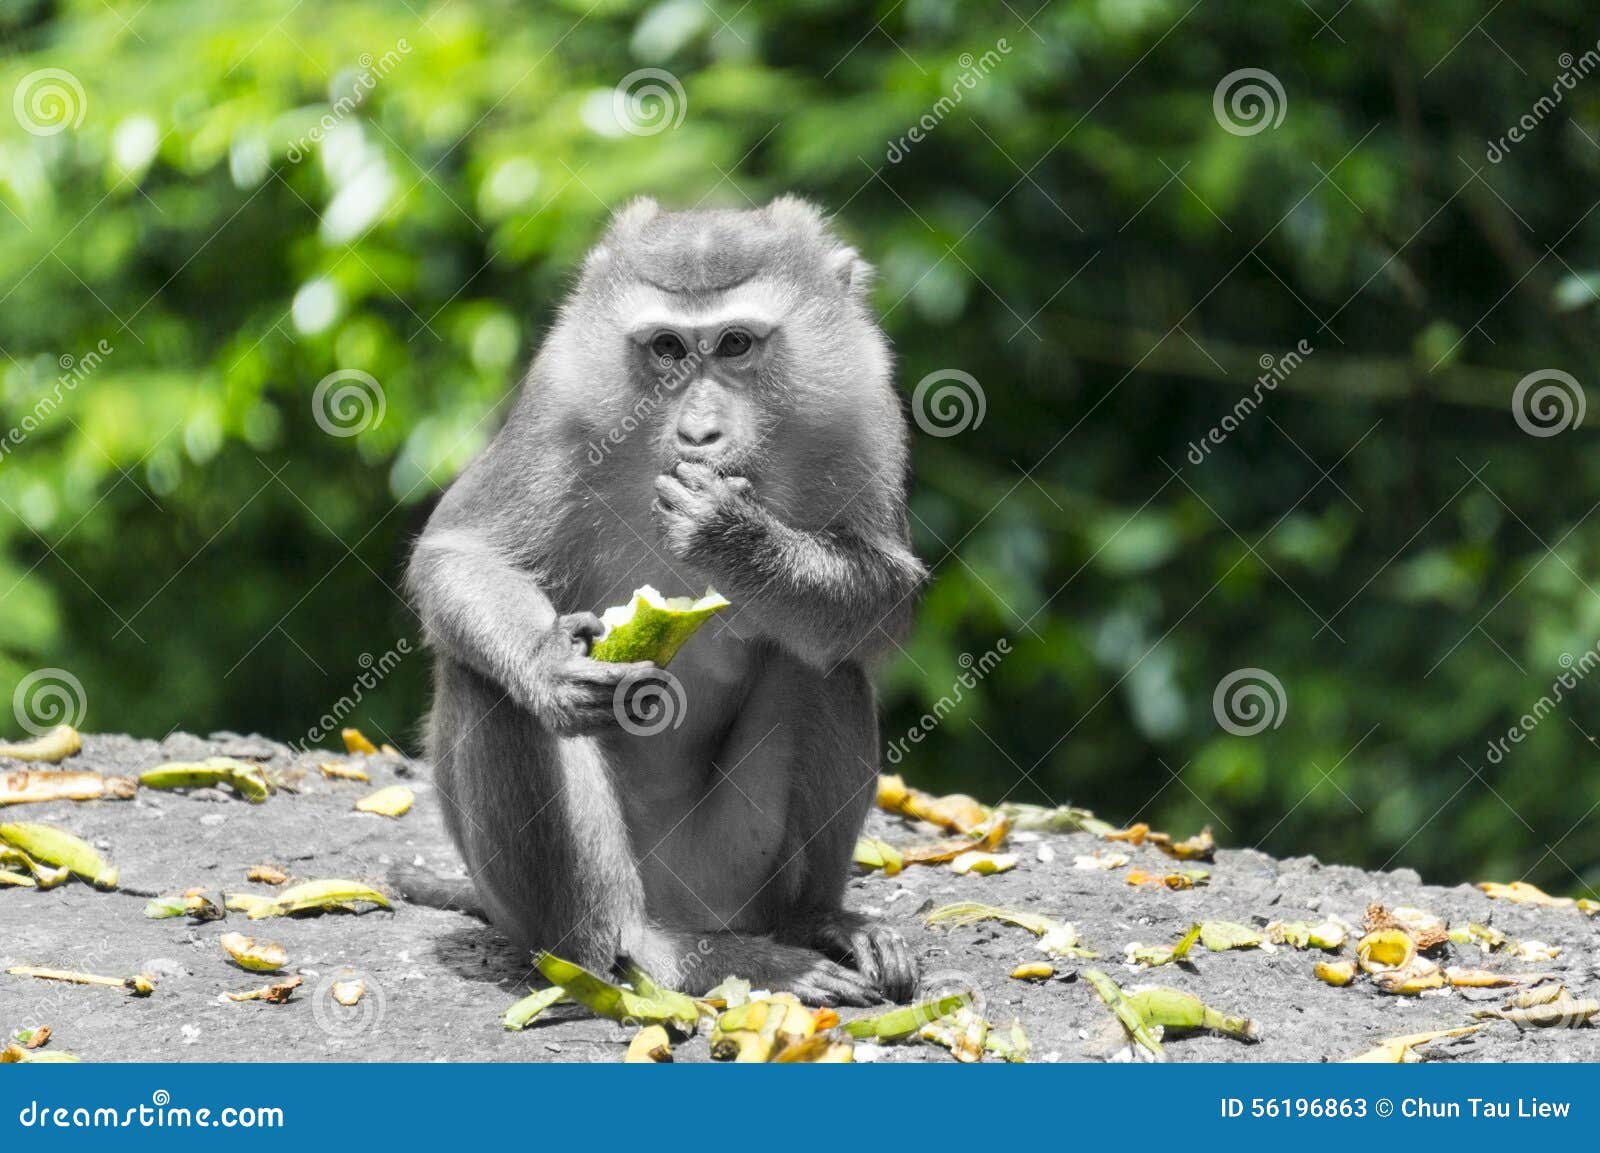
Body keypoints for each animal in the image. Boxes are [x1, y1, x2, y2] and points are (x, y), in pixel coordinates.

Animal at [402, 195, 926, 1005]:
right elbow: (460, 553)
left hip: (732, 878)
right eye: (669, 349)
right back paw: (639, 953)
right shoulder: (559, 405)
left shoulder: (861, 414)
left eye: (735, 344)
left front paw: (736, 537)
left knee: (826, 665)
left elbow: (887, 598)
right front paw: (546, 665)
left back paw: (814, 923)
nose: (700, 432)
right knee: (484, 681)